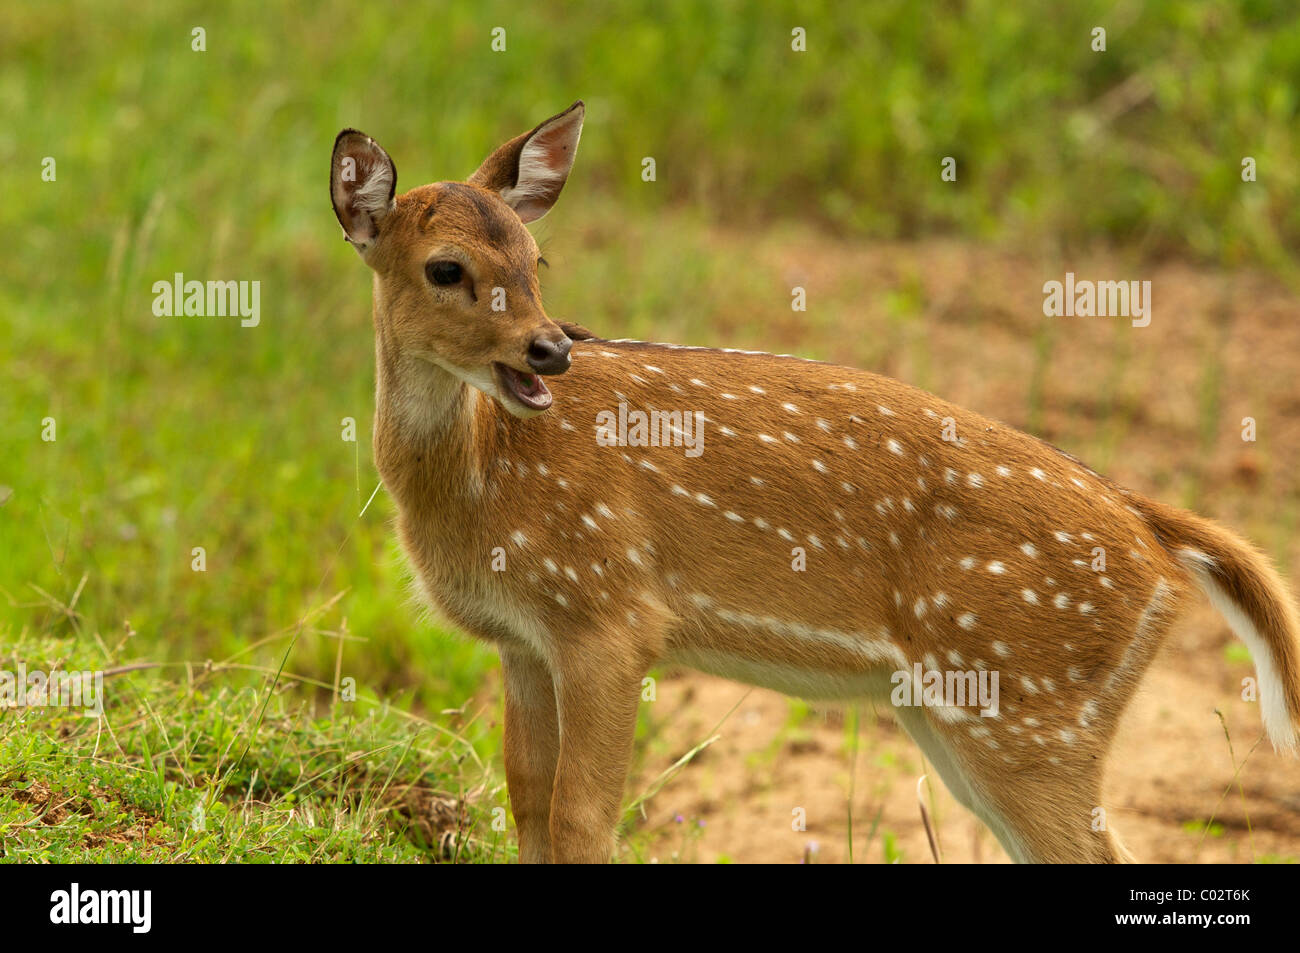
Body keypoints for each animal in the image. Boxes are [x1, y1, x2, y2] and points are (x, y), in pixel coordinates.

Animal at [329, 102, 1300, 864]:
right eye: (446, 267)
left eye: (537, 261)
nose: (551, 348)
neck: (483, 481)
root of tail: (1153, 529)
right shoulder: (525, 640)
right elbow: (529, 803)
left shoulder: (612, 617)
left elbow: (583, 821)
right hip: (978, 716)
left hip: (1032, 712)